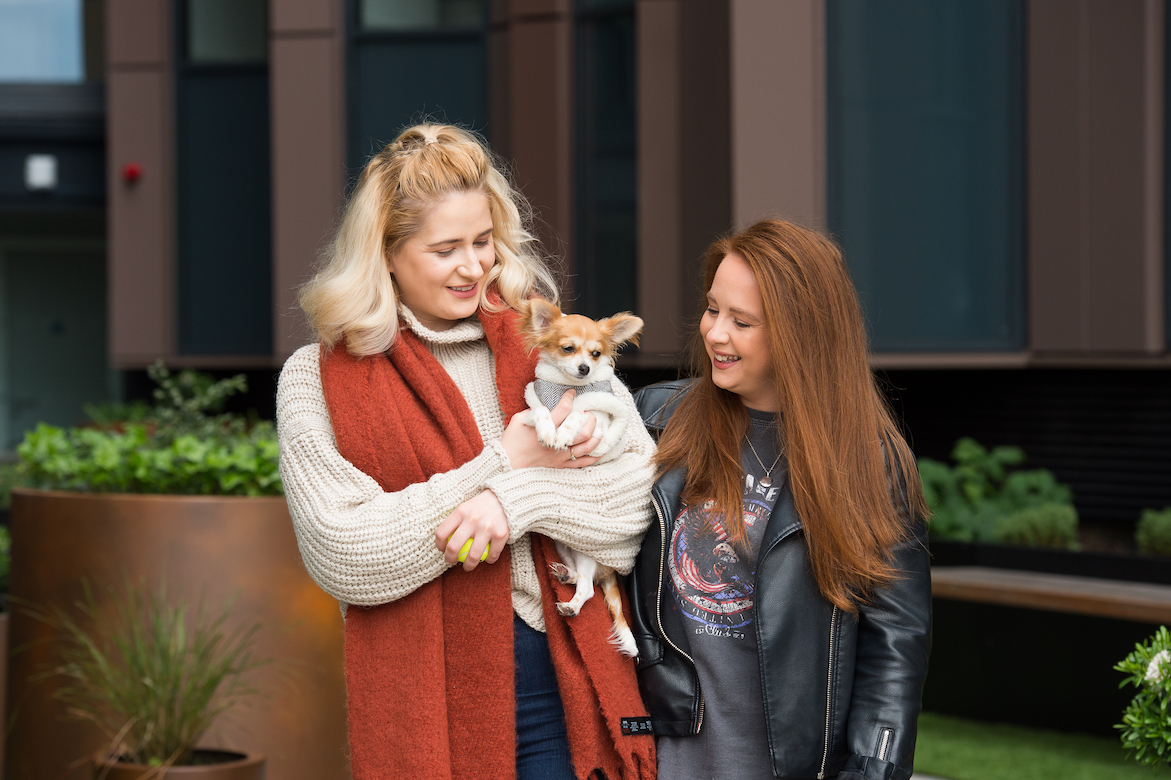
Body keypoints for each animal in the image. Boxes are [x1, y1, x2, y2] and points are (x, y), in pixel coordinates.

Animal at [515, 298, 644, 658]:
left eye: (596, 354)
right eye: (568, 349)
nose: (585, 369)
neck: (567, 387)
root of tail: (609, 570)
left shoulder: (597, 418)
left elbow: (576, 412)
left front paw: (563, 432)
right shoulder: (530, 408)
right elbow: (541, 412)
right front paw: (549, 430)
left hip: (587, 552)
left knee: (588, 589)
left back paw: (572, 604)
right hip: (567, 545)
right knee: (583, 581)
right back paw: (564, 575)